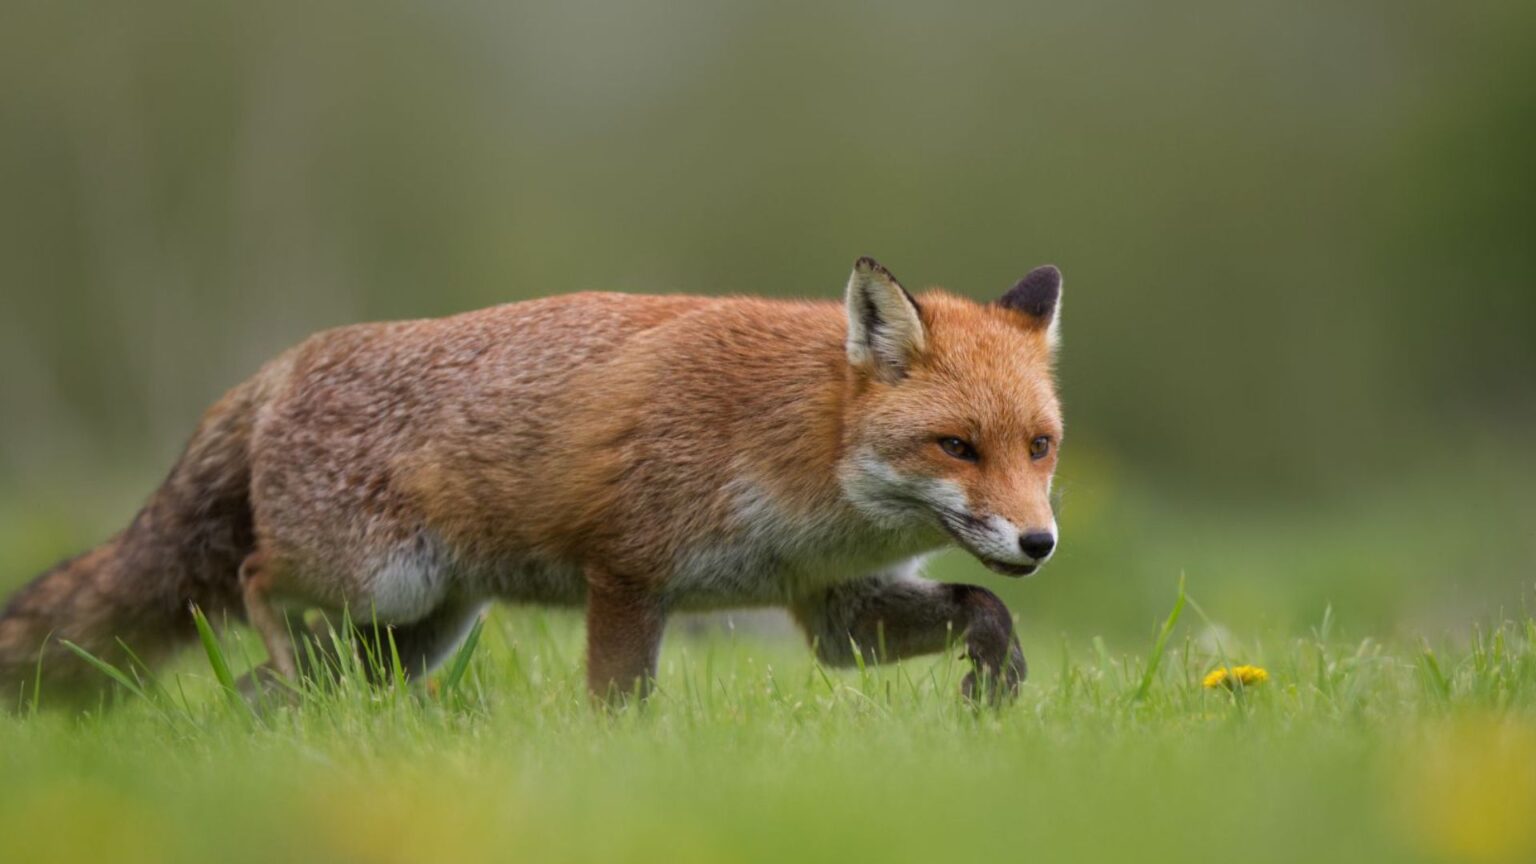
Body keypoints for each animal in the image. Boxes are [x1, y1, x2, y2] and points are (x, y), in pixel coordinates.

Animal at [0, 257, 1064, 708]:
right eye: (958, 447)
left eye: (1040, 447)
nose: (1041, 542)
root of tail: (282, 366)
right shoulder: (627, 573)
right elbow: (618, 707)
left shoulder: (833, 604)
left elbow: (984, 611)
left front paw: (998, 684)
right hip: (377, 584)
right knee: (254, 580)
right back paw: (284, 669)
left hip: (413, 632)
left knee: (274, 685)